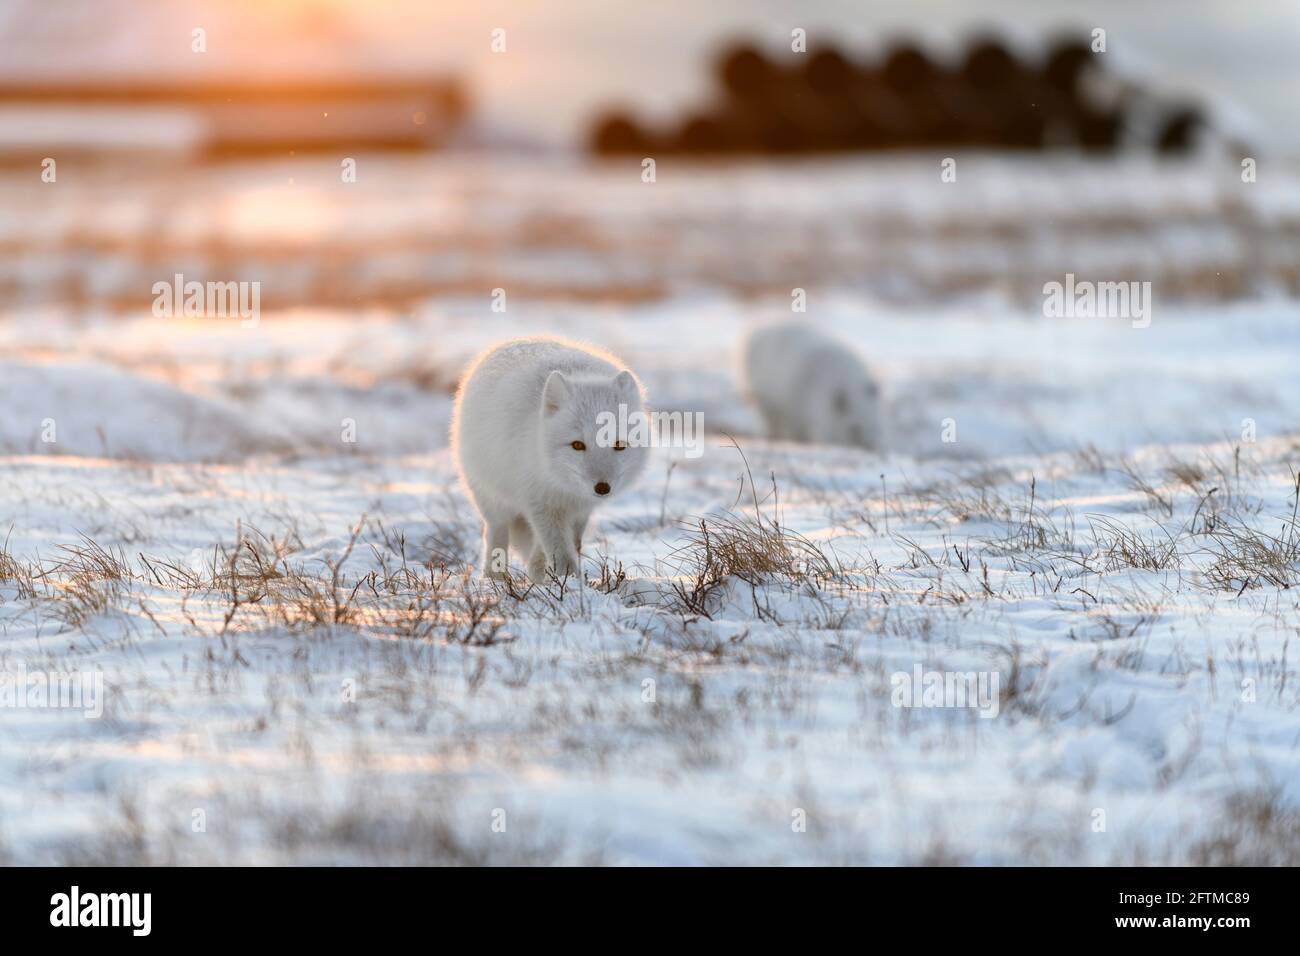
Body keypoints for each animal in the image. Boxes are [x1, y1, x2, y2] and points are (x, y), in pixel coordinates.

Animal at [451, 337, 650, 582]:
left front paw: (549, 577)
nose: (602, 488)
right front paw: (569, 582)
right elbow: (559, 550)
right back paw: (493, 579)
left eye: (619, 444)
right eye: (577, 445)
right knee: (495, 535)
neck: (563, 484)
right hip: (492, 500)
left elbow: (565, 545)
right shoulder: (539, 500)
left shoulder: (579, 510)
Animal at [742, 321, 884, 450]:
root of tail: (755, 332)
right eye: (854, 429)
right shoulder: (796, 412)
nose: (870, 447)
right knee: (772, 422)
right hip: (766, 402)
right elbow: (797, 433)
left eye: (874, 424)